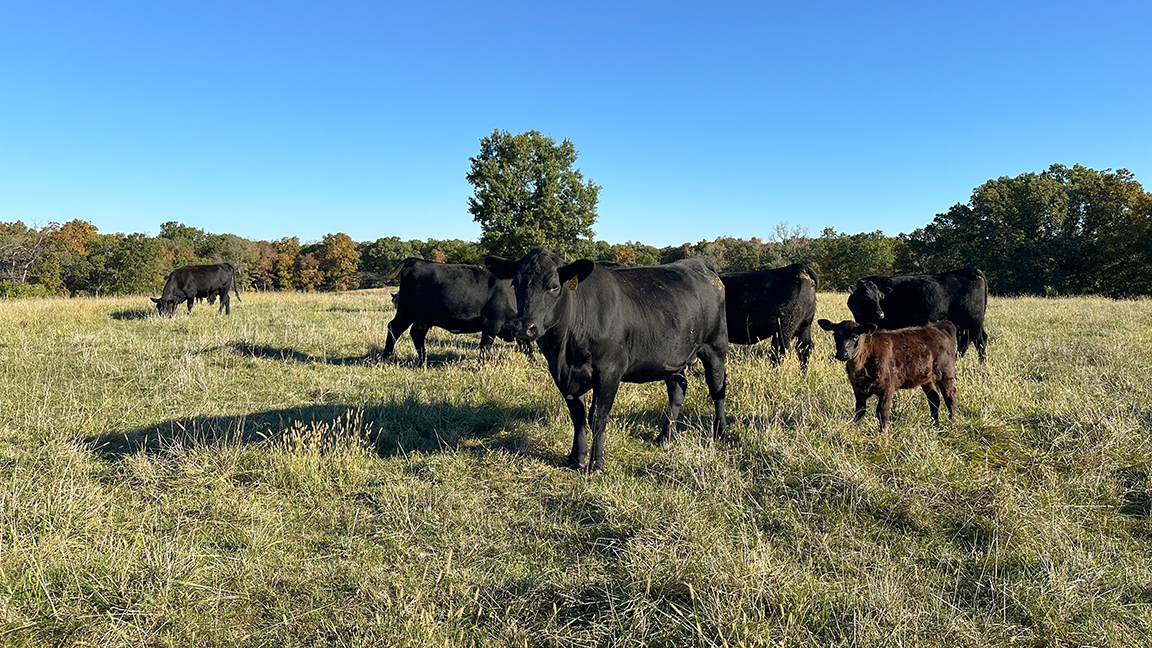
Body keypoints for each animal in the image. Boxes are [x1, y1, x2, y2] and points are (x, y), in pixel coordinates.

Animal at [382, 258, 530, 364]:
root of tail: (414, 260)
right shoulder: (492, 322)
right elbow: (485, 346)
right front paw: (480, 368)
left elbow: (527, 347)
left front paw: (532, 364)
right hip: (407, 311)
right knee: (394, 327)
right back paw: (385, 358)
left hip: (423, 318)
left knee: (416, 333)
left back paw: (424, 361)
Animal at [485, 247, 729, 473]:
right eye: (515, 284)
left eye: (553, 286)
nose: (524, 327)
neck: (564, 351)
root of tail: (698, 264)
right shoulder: (563, 375)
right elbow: (578, 416)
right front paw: (576, 458)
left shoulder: (610, 370)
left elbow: (598, 417)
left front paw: (596, 464)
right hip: (673, 359)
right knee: (678, 391)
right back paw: (665, 438)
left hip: (715, 347)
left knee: (717, 388)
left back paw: (720, 432)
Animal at [818, 318, 958, 432]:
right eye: (836, 335)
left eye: (855, 337)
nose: (842, 354)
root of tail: (938, 327)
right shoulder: (858, 389)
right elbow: (859, 411)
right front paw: (855, 431)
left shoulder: (887, 387)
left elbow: (882, 411)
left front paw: (883, 435)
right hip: (926, 377)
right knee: (934, 398)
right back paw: (936, 426)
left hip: (946, 374)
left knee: (950, 397)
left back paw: (952, 424)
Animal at [846, 268, 989, 362]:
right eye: (865, 297)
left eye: (878, 297)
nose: (881, 314)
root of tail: (970, 270)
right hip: (963, 325)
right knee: (966, 342)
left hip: (973, 322)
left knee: (980, 342)